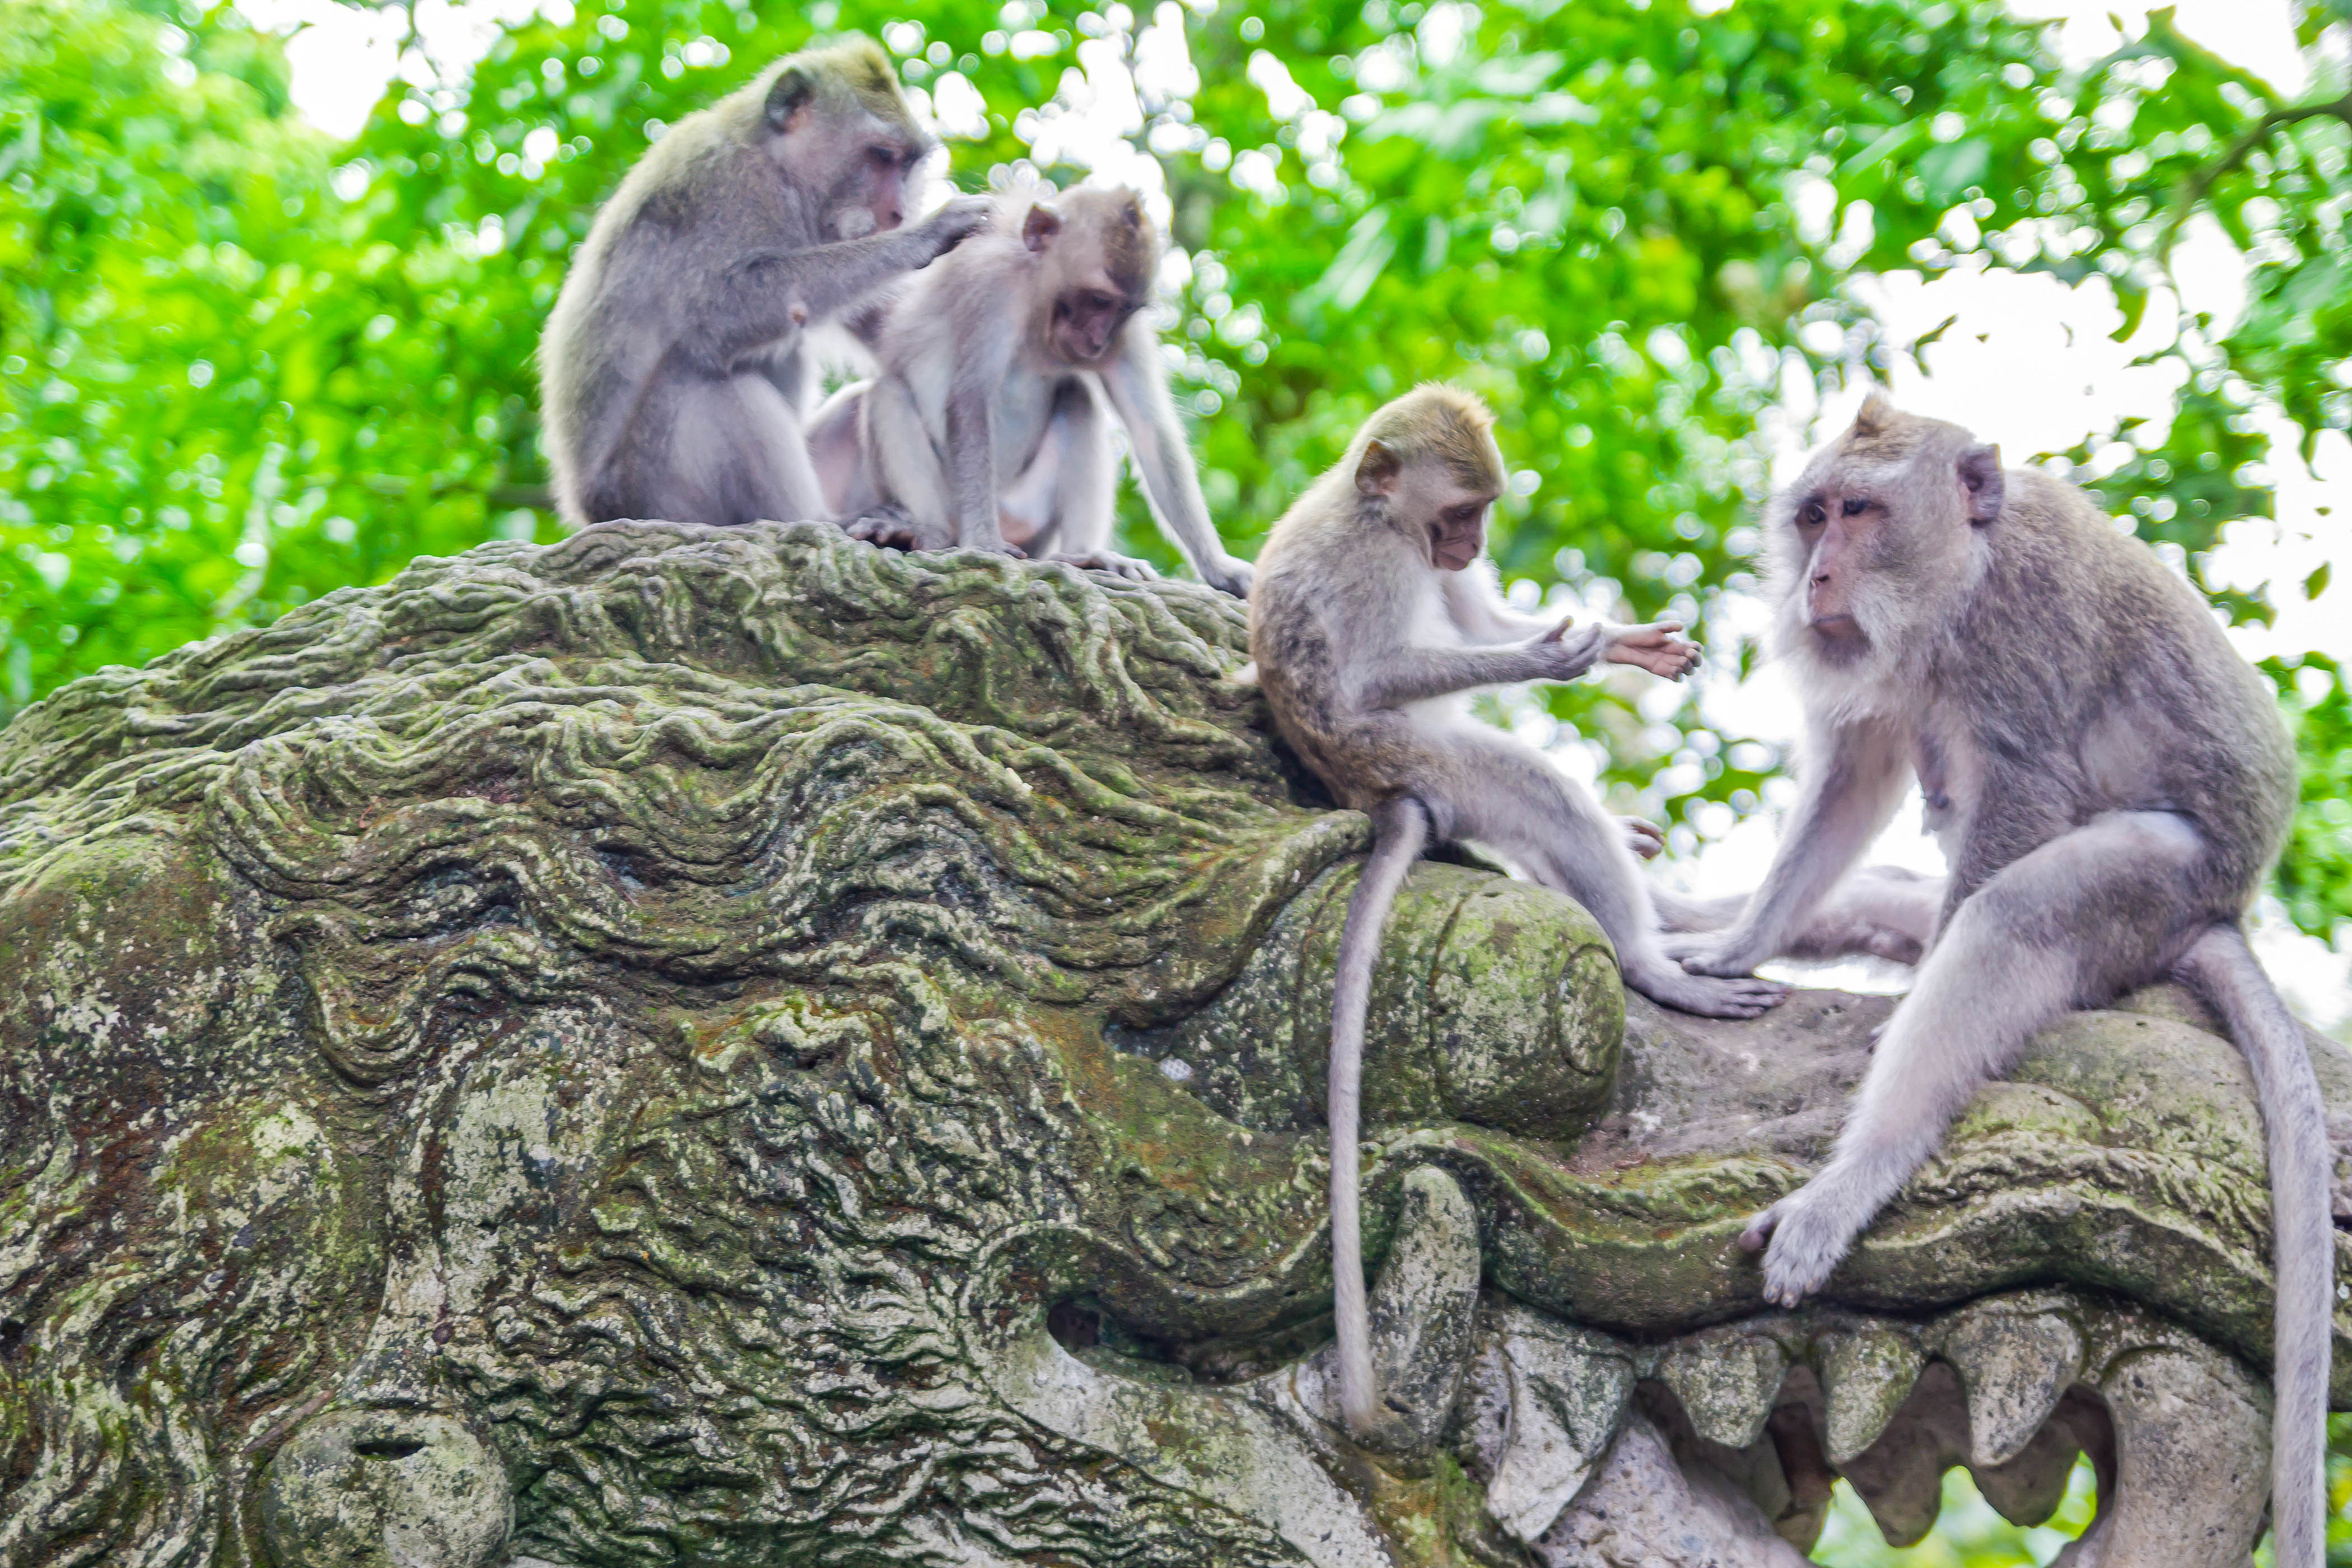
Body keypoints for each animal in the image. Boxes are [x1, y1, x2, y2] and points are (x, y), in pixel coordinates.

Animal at [541, 38, 995, 532]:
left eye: (906, 164)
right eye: (881, 156)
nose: (897, 213)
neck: (773, 161)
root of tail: (588, 512)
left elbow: (901, 334)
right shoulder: (727, 187)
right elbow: (717, 311)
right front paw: (927, 234)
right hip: (654, 495)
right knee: (706, 378)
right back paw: (816, 520)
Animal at [808, 186, 1256, 597]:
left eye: (1122, 310)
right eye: (1098, 300)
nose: (1098, 342)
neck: (1039, 303)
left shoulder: (1126, 335)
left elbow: (1150, 431)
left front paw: (1219, 568)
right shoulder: (992, 287)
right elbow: (970, 399)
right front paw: (983, 543)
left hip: (1029, 515)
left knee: (1077, 396)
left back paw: (1085, 556)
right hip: (956, 501)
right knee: (890, 394)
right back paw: (927, 533)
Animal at [1247, 384, 1787, 1443]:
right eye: (1462, 511)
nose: (1474, 543)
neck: (1379, 512)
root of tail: (1378, 794)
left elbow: (1477, 611)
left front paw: (1616, 640)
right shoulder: (1378, 562)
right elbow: (1375, 671)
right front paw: (1549, 653)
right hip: (1437, 759)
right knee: (1536, 791)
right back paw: (1649, 964)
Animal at [1663, 390, 2330, 1566]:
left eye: (1861, 513)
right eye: (1814, 515)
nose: (1815, 577)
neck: (1959, 581)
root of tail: (2222, 912)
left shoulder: (2024, 629)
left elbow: (2018, 799)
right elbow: (1857, 776)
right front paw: (1741, 941)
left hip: (2155, 889)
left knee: (2004, 921)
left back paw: (1853, 1180)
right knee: (1898, 888)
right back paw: (1682, 917)